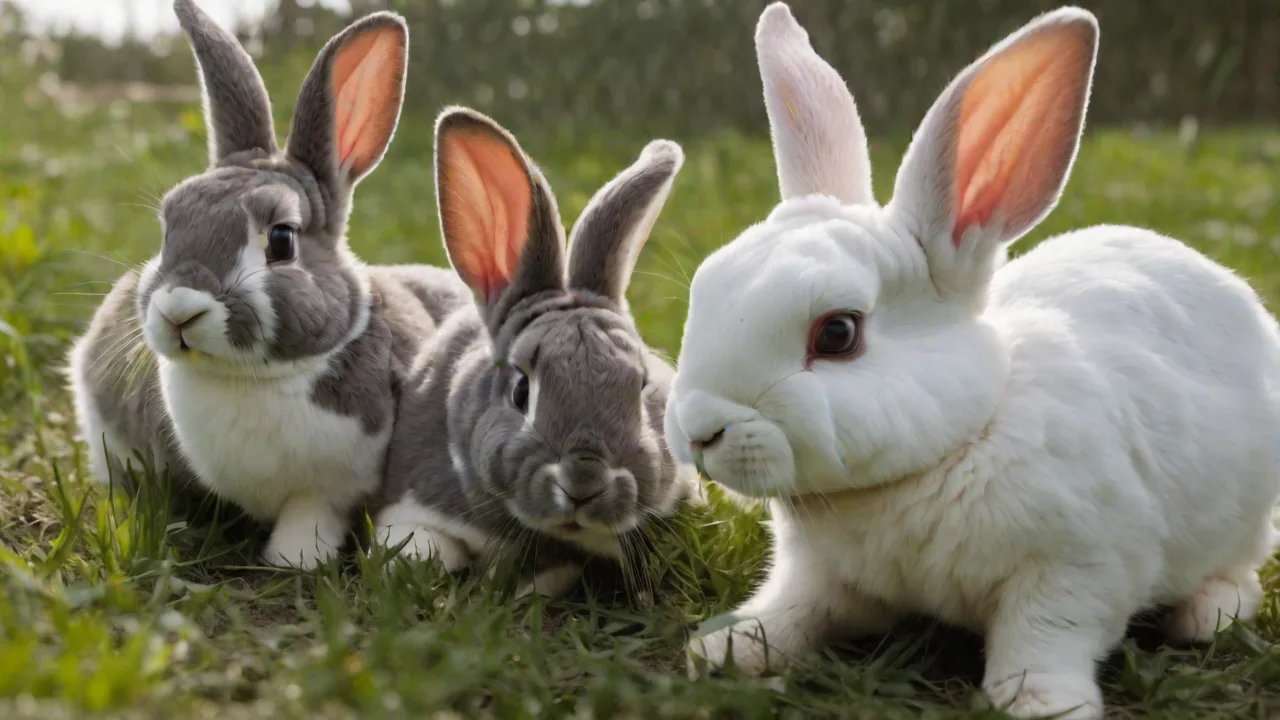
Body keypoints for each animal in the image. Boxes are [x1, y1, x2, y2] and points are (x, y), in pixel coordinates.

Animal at [66, 0, 471, 569]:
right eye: (169, 226)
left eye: (281, 239)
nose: (179, 309)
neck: (249, 377)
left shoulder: (328, 489)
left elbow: (310, 520)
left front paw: (294, 562)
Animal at [669, 3, 1280, 718]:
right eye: (706, 287)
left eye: (837, 333)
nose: (698, 432)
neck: (950, 448)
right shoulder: (818, 577)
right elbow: (793, 611)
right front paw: (724, 649)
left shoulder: (1077, 567)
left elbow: (1043, 635)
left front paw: (1044, 702)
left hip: (1244, 519)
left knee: (1239, 570)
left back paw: (1207, 612)